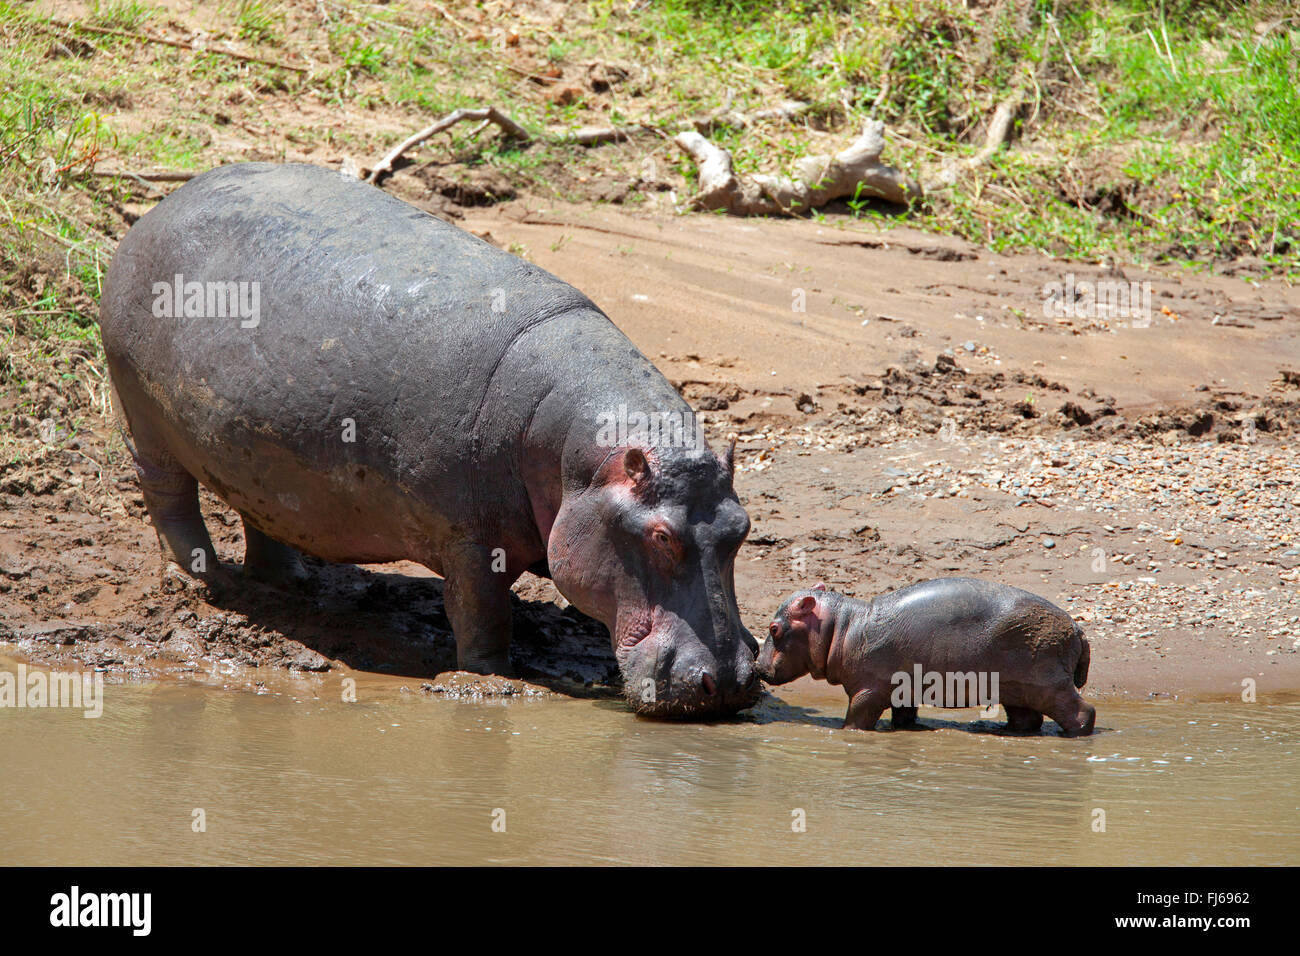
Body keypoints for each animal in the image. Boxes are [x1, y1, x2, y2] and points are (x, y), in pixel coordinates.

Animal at [99, 162, 759, 718]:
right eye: (660, 536)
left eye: (742, 528)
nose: (728, 682)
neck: (576, 456)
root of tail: (163, 204)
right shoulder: (467, 540)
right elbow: (482, 614)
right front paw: (493, 678)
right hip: (141, 412)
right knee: (169, 495)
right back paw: (202, 578)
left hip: (254, 444)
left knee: (260, 509)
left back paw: (293, 581)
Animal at [757, 578, 1095, 735]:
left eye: (773, 628)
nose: (757, 665)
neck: (841, 626)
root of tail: (1078, 629)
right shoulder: (901, 690)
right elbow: (904, 715)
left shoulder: (869, 689)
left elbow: (857, 716)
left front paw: (847, 733)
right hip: (1017, 688)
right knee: (1027, 718)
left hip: (1048, 685)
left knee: (1082, 712)